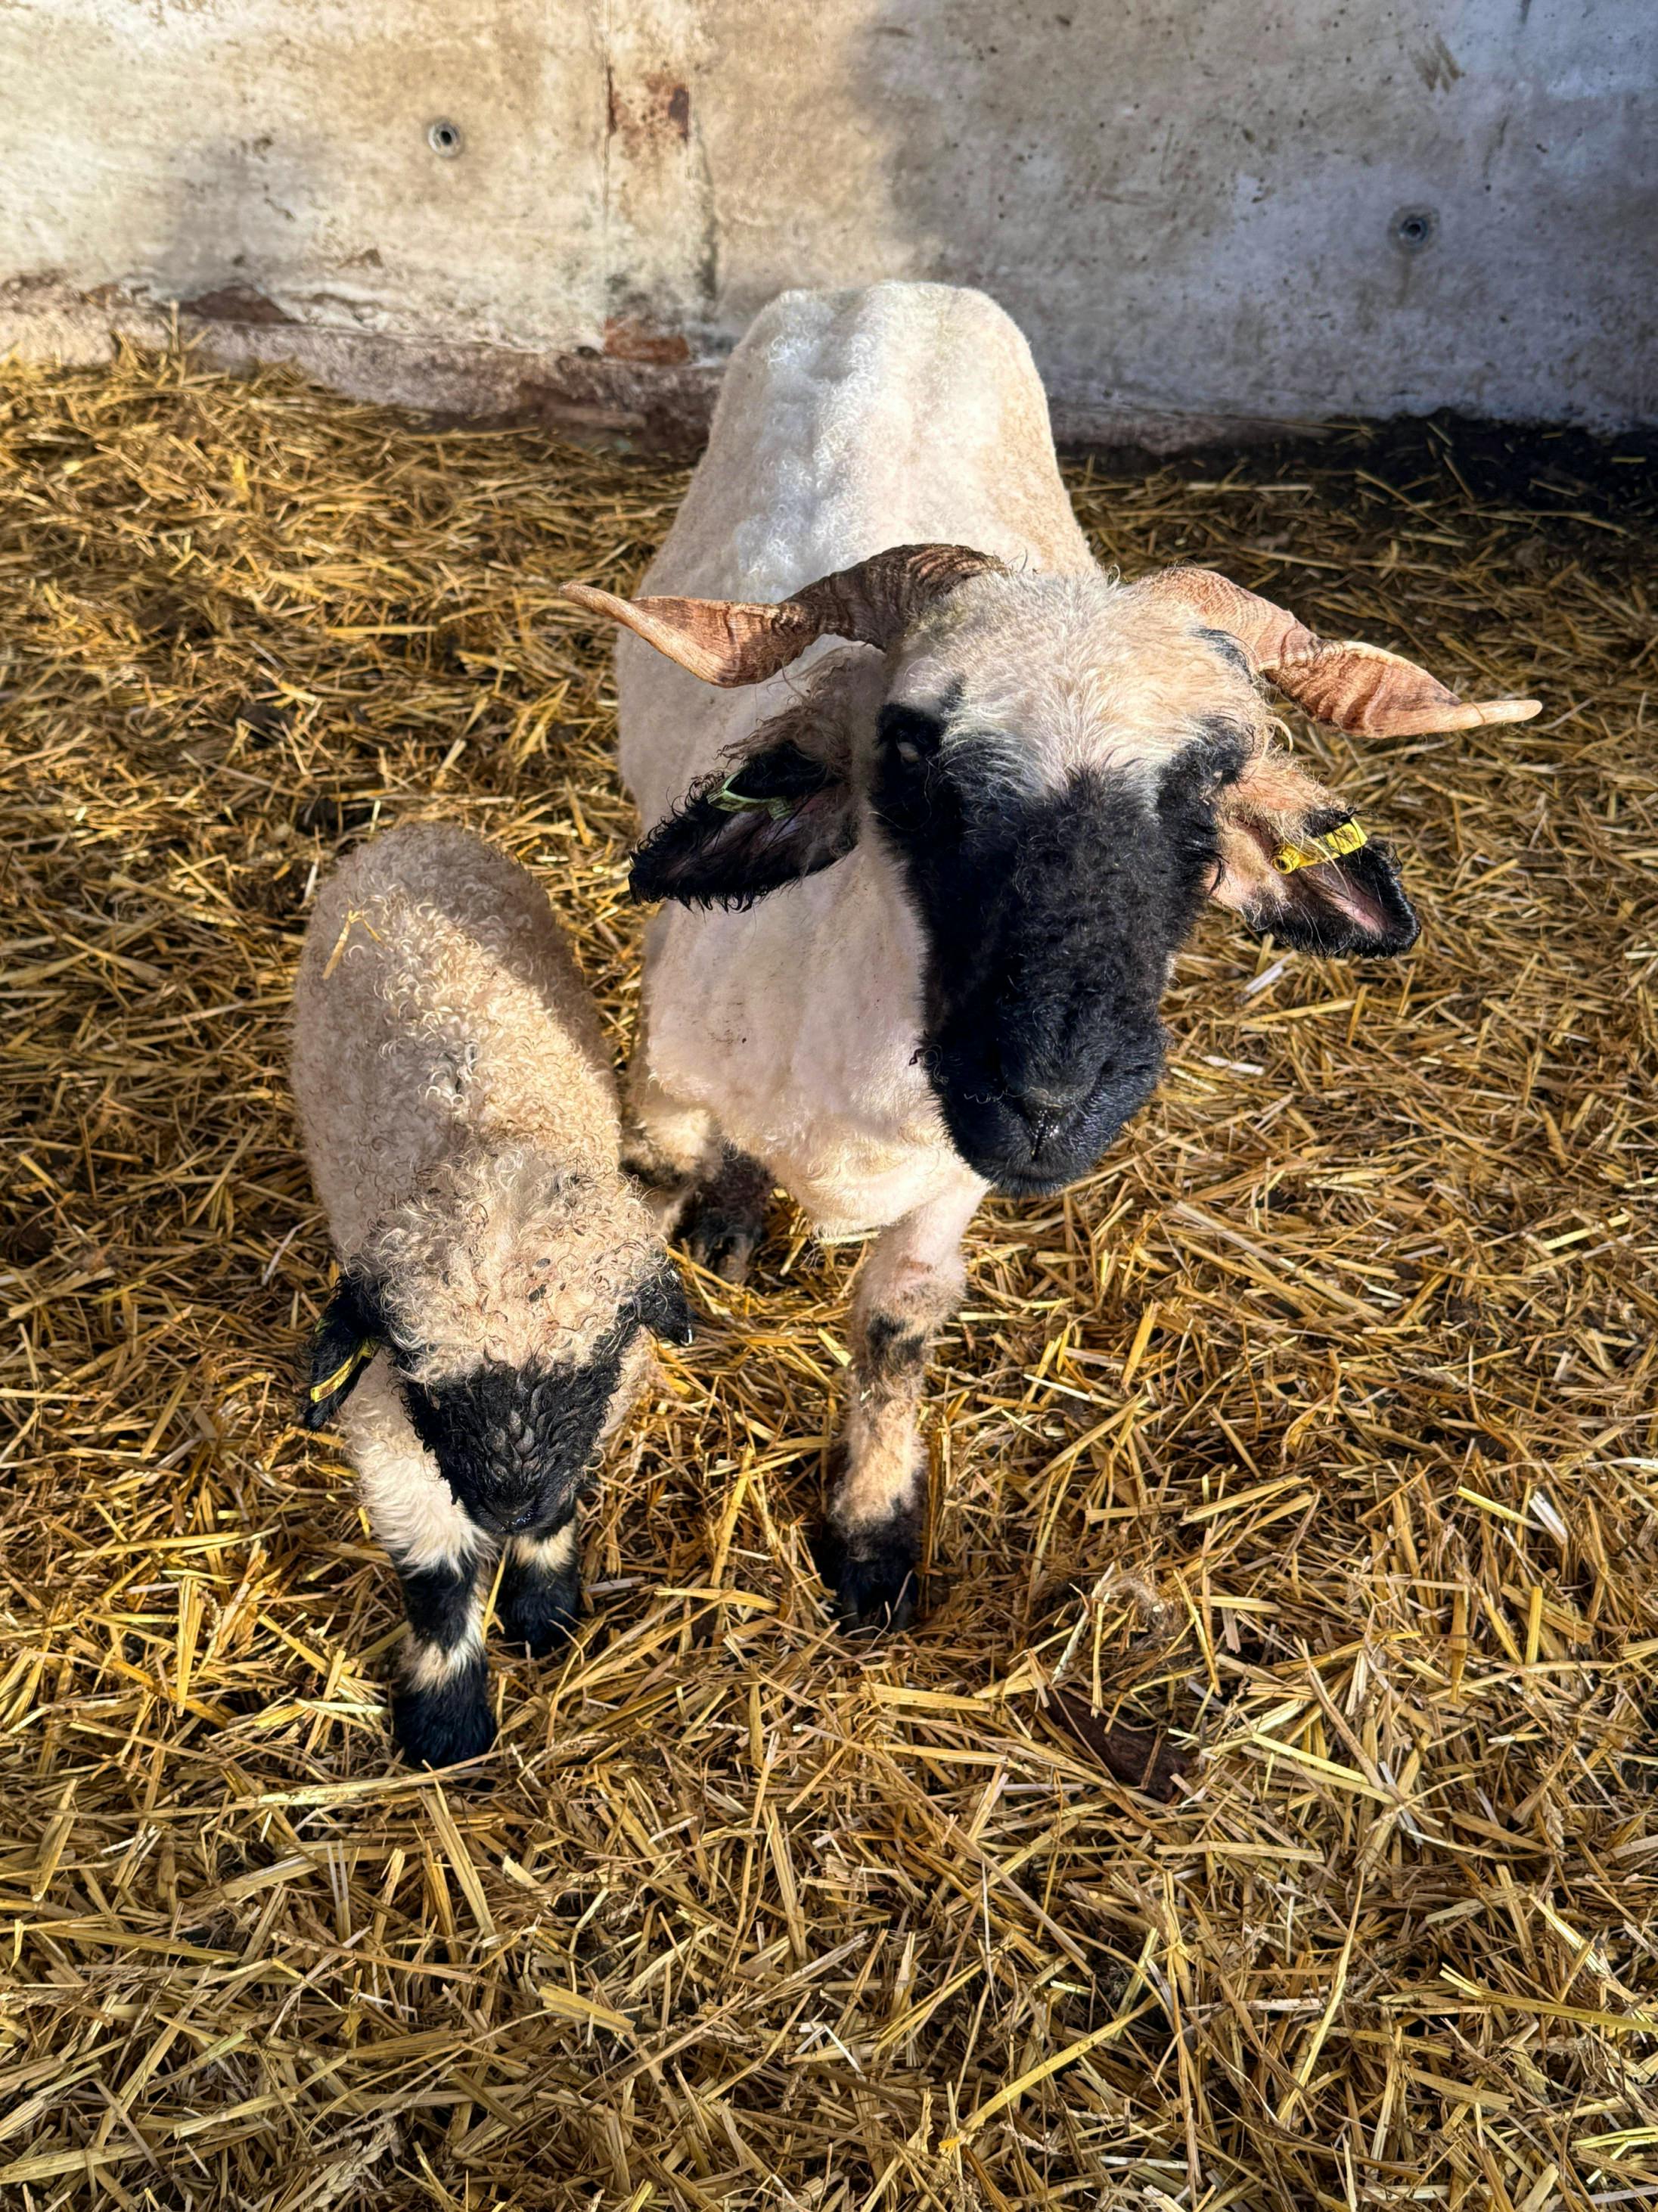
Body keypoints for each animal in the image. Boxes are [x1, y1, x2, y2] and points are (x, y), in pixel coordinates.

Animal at [290, 823, 691, 1767]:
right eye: (429, 1379)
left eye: (587, 1365)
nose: (508, 1503)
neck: (492, 1135)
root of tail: (419, 829)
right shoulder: (384, 1413)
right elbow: (435, 1568)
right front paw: (446, 1721)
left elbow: (565, 1499)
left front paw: (542, 1604)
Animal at [559, 280, 1540, 1637]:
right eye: (909, 745)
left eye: (1218, 770)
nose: (1049, 1094)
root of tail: (899, 288)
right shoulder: (665, 1089)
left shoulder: (949, 1179)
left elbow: (899, 1322)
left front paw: (871, 1539)